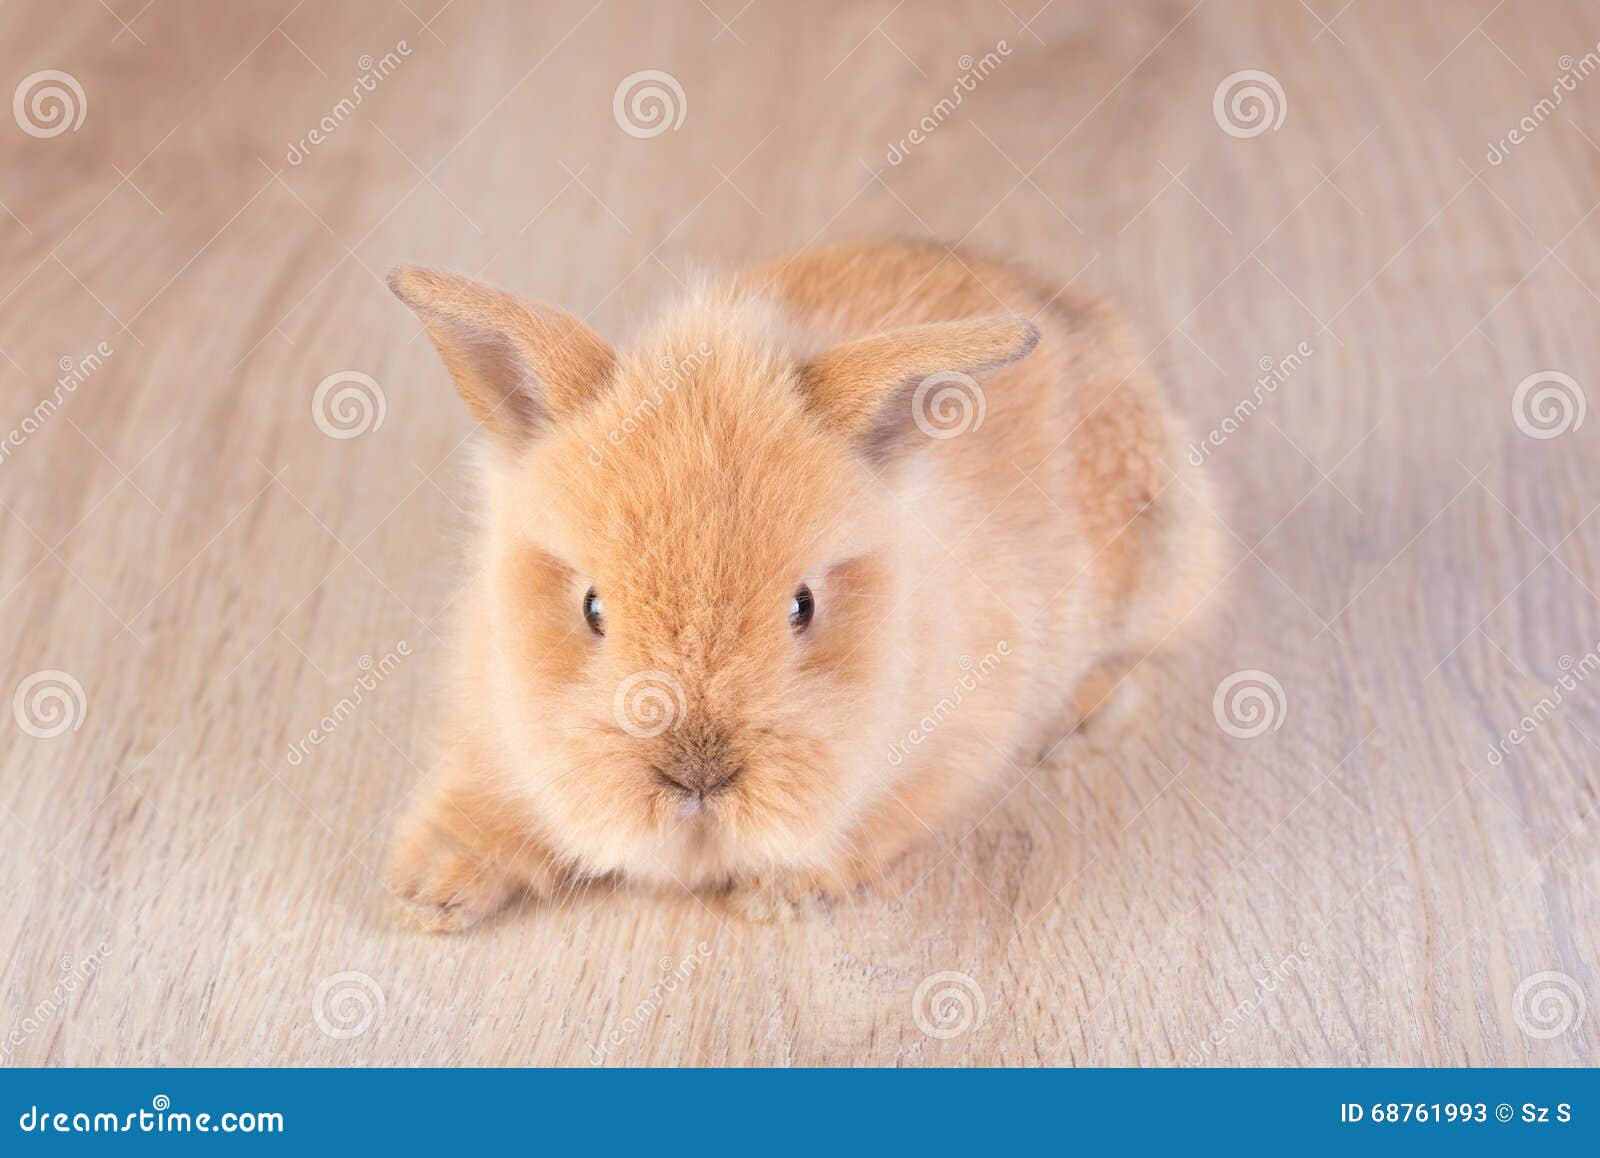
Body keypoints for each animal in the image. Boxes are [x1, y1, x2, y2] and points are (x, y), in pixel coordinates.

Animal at [384, 241, 1222, 930]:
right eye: (593, 610)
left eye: (803, 606)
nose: (698, 774)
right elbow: (484, 802)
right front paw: (426, 889)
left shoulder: (954, 742)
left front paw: (778, 892)